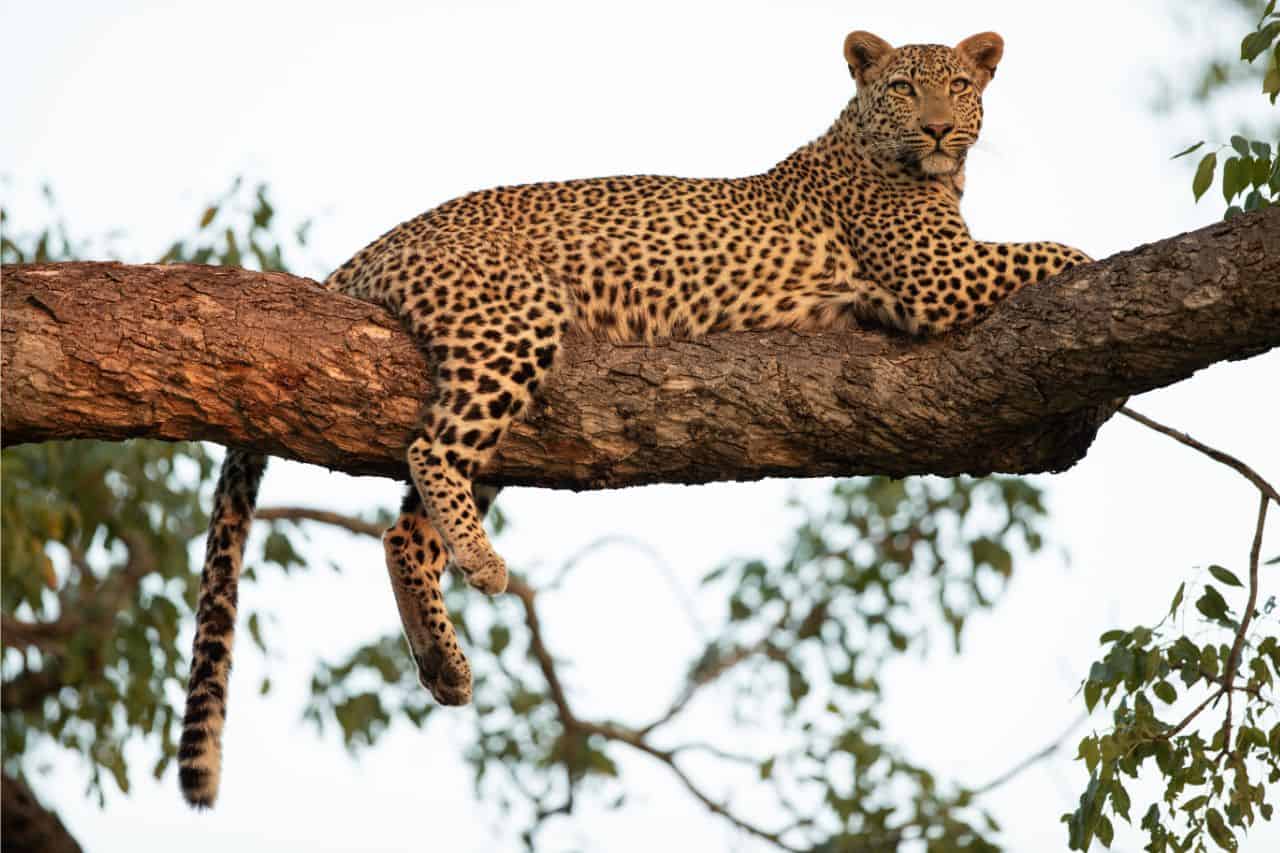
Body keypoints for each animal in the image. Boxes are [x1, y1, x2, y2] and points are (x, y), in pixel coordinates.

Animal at [178, 29, 1092, 807]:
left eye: (960, 86)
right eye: (904, 86)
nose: (939, 128)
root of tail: (374, 246)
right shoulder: (939, 277)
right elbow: (1062, 250)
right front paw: (1095, 262)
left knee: (404, 528)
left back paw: (444, 660)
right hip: (514, 319)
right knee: (430, 449)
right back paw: (482, 564)